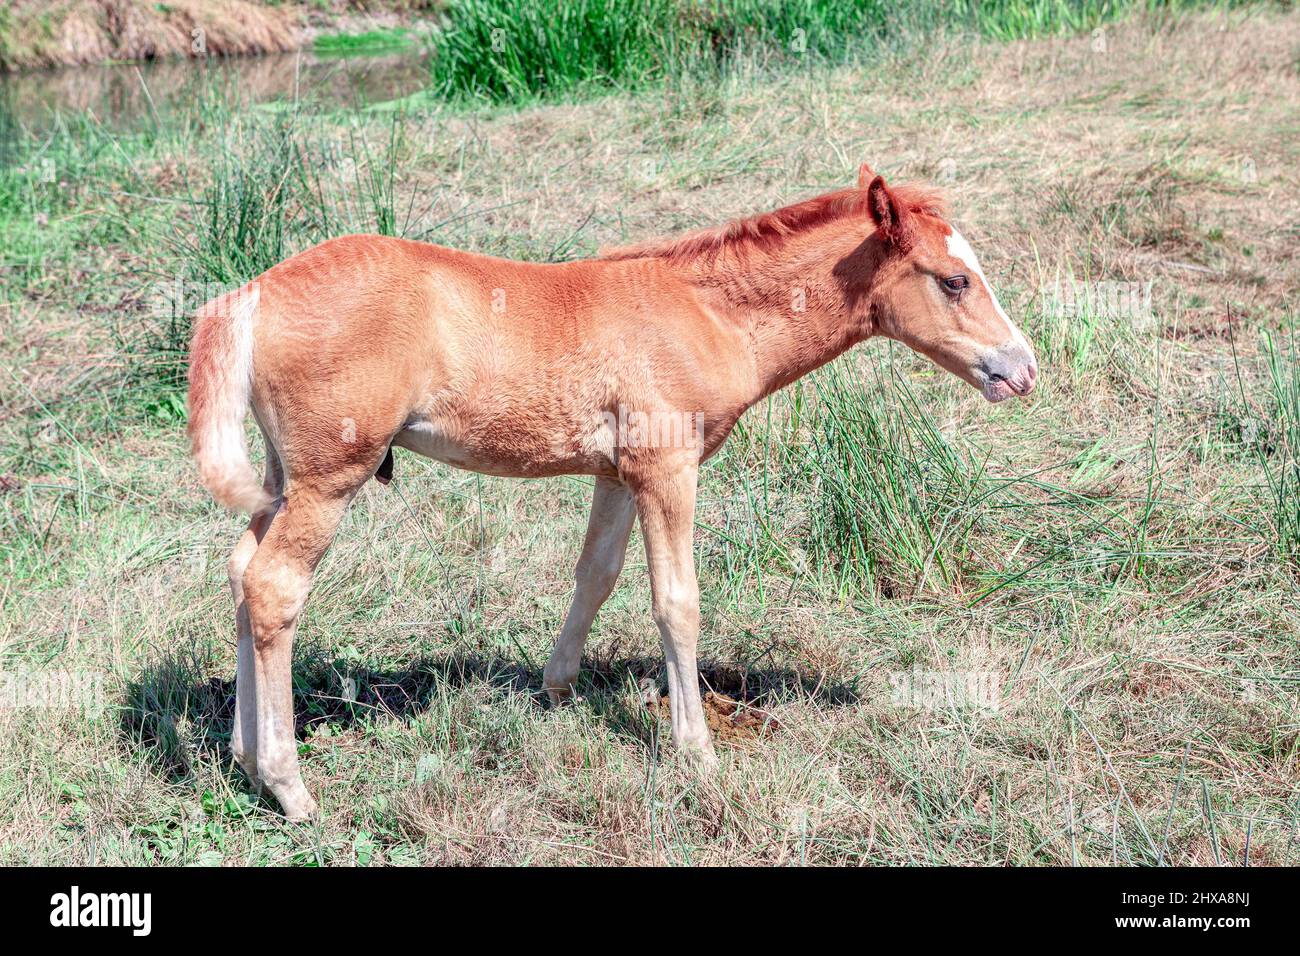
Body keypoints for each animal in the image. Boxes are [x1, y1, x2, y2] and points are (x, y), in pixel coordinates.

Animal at [187, 163, 1037, 819]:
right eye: (954, 280)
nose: (1022, 369)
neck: (705, 313)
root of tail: (252, 294)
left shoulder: (618, 475)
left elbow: (595, 576)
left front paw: (557, 689)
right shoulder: (668, 471)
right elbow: (677, 603)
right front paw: (696, 753)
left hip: (280, 480)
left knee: (240, 573)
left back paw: (243, 755)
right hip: (331, 479)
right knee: (275, 588)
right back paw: (290, 788)